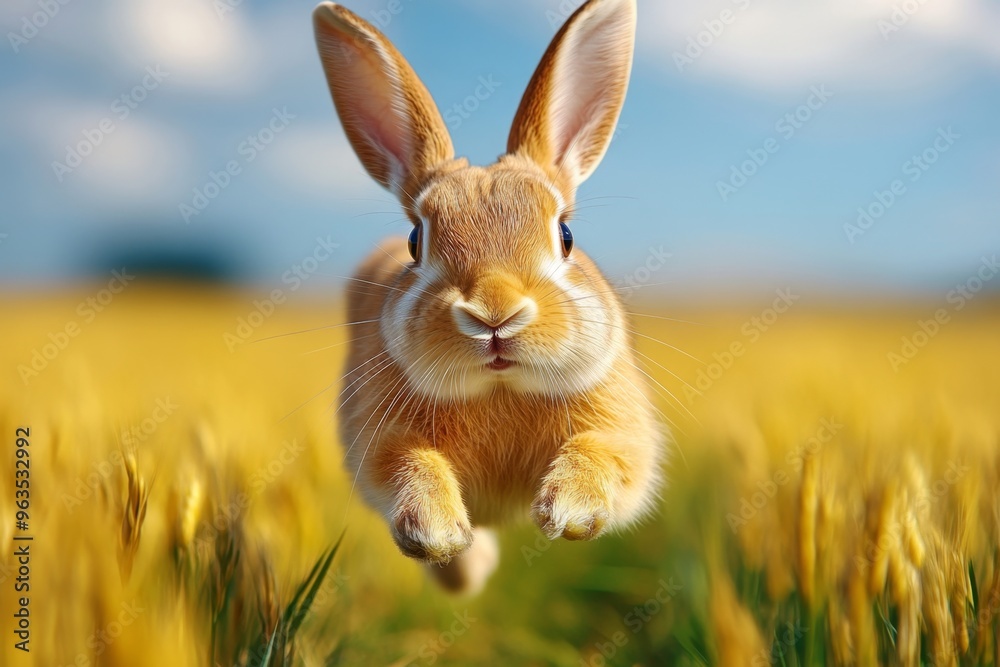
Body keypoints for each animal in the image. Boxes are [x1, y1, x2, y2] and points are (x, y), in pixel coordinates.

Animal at [313, 0, 665, 594]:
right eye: (417, 240)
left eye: (566, 235)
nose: (494, 314)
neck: (500, 388)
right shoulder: (378, 437)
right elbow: (409, 465)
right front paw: (441, 537)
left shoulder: (622, 429)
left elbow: (603, 452)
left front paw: (566, 511)